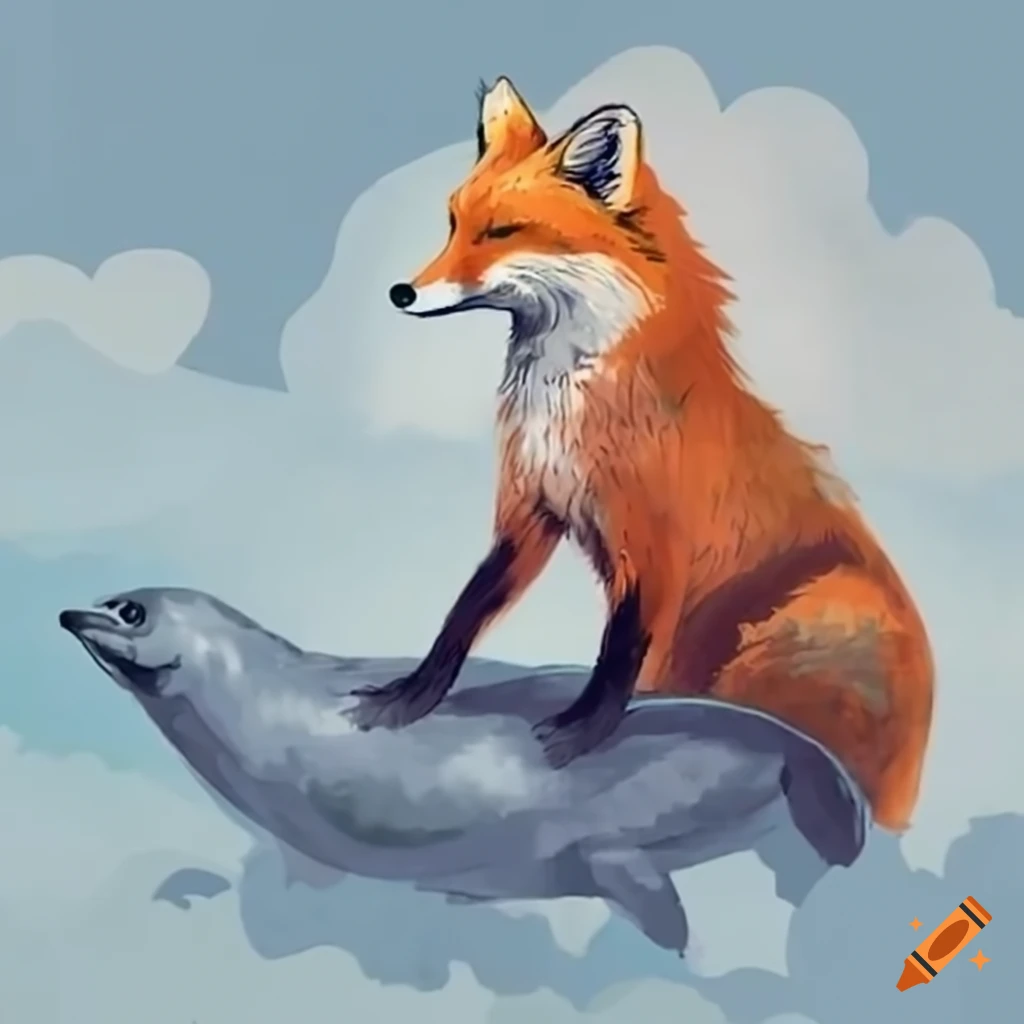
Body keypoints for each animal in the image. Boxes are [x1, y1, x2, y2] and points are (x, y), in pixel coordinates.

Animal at [350, 76, 935, 832]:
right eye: (452, 224)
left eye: (501, 232)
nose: (401, 292)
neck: (570, 403)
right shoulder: (531, 512)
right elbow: (463, 614)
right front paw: (409, 697)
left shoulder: (653, 544)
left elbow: (619, 651)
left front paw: (578, 736)